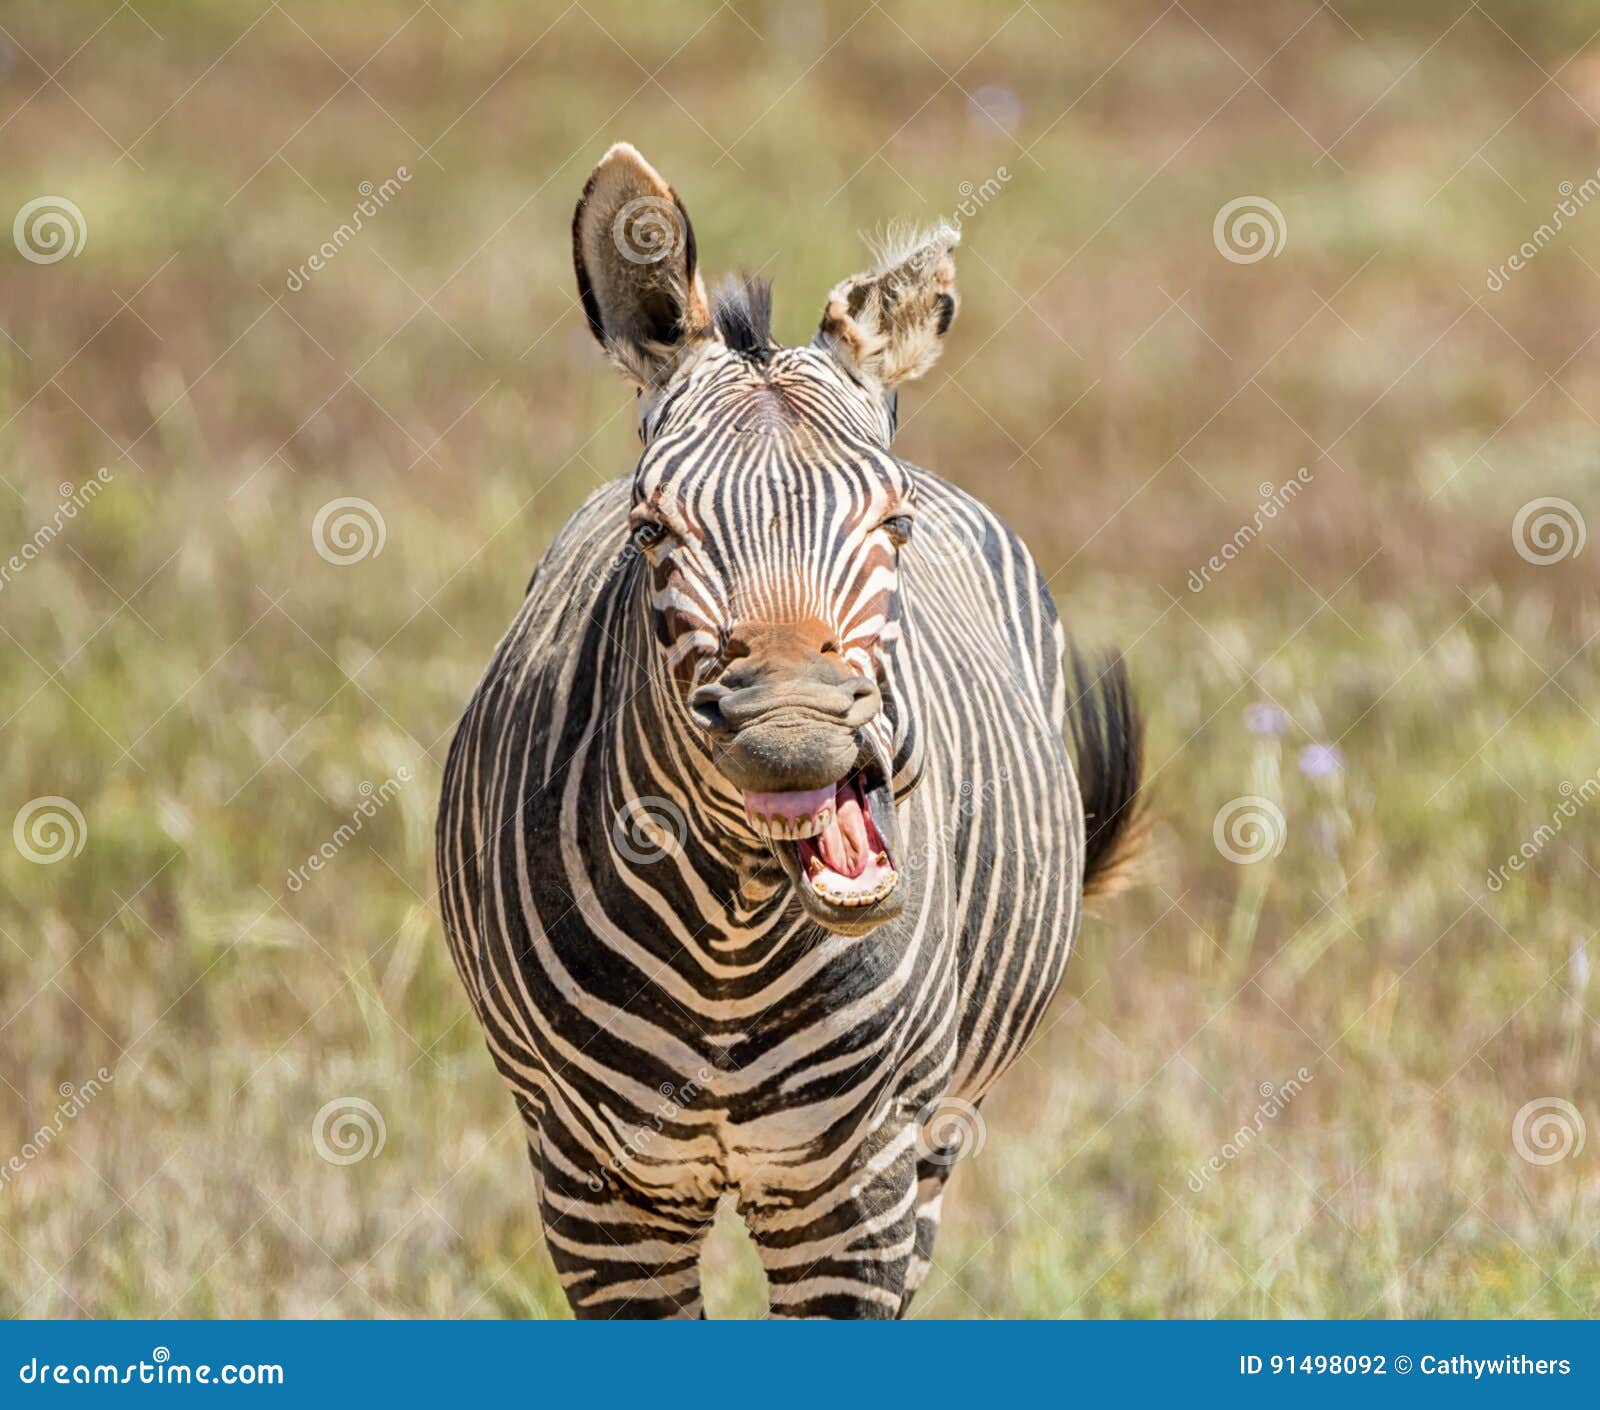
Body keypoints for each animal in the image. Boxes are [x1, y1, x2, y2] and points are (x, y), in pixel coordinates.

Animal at [436, 143, 1145, 1319]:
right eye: (650, 531)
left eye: (893, 523)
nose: (794, 738)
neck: (731, 927)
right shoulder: (596, 1196)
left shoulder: (855, 1189)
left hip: (935, 1140)